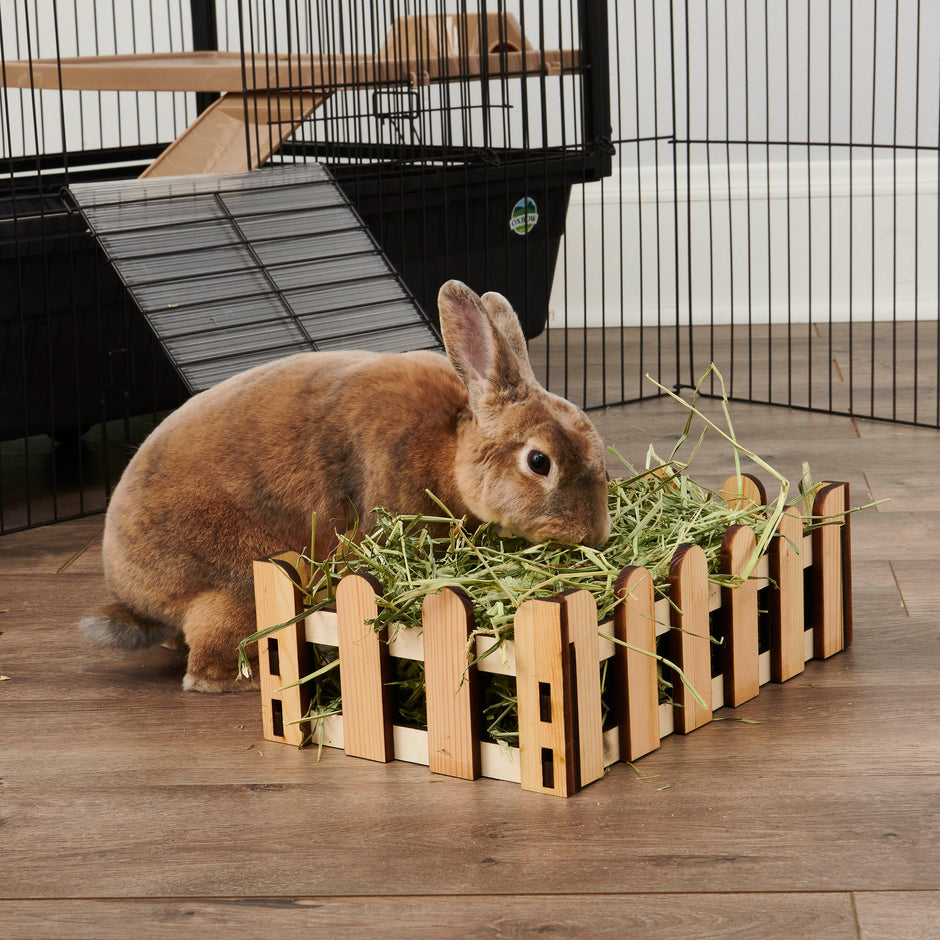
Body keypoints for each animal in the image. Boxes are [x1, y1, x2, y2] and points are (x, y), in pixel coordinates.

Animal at [79, 280, 612, 691]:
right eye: (539, 461)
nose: (592, 534)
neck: (450, 448)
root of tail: (131, 595)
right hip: (239, 584)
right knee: (209, 665)